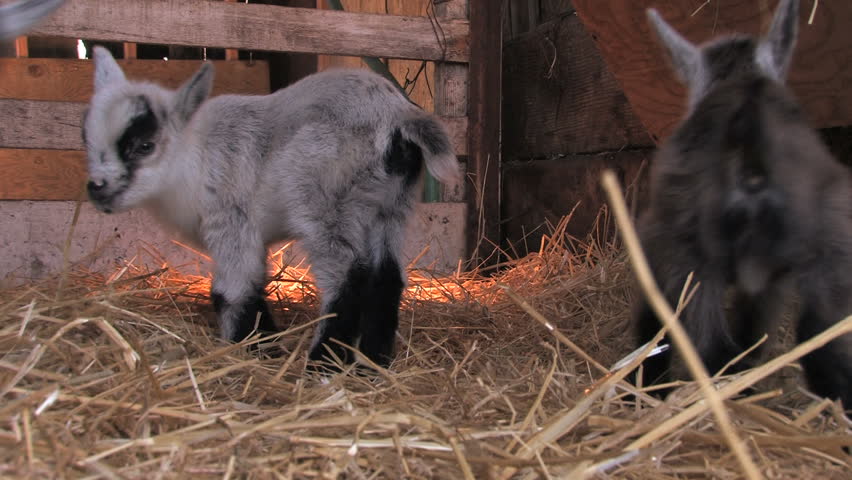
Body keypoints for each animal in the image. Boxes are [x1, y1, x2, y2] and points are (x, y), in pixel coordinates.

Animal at [83, 46, 460, 370]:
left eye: (145, 145)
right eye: (87, 139)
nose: (96, 188)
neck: (194, 154)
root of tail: (396, 114)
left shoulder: (230, 222)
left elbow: (231, 291)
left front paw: (249, 349)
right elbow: (253, 283)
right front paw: (265, 345)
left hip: (323, 200)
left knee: (348, 275)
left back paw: (322, 365)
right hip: (390, 207)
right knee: (387, 278)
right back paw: (372, 364)